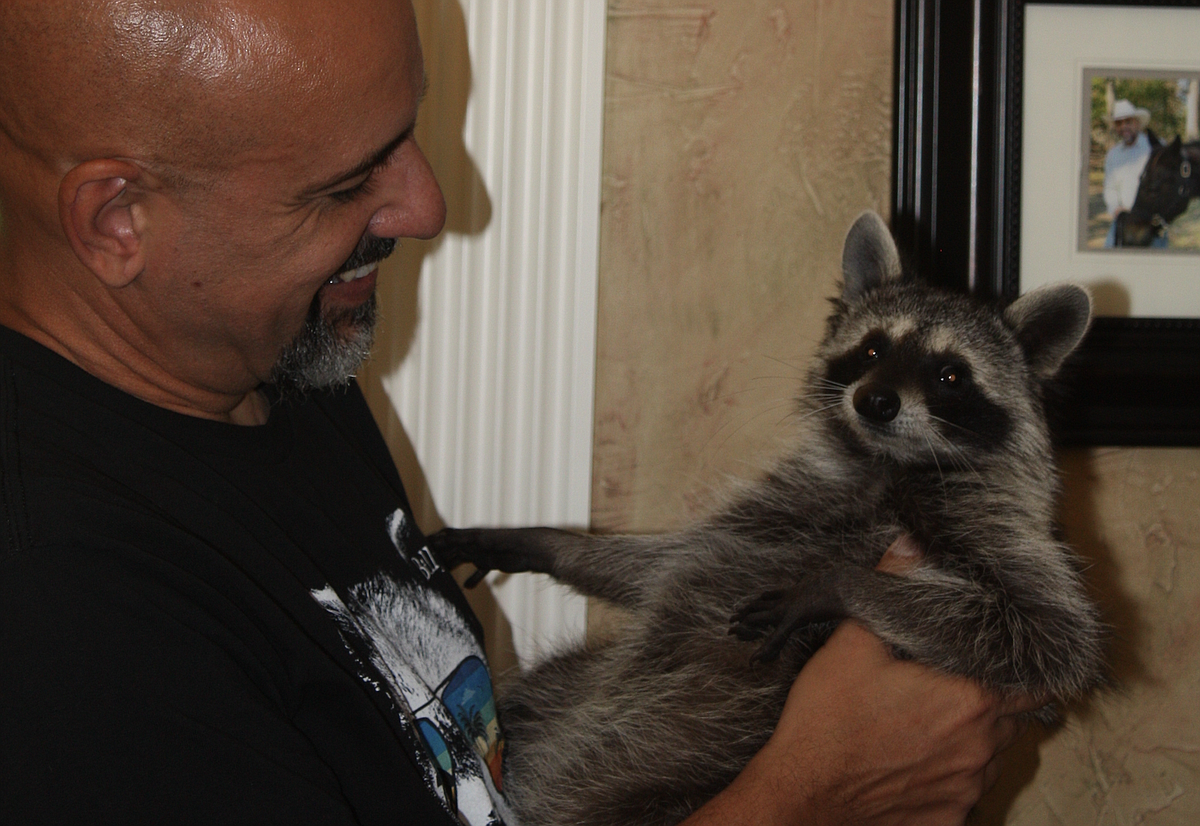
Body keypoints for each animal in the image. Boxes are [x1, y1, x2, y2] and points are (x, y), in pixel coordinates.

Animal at [430, 211, 1105, 826]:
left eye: (950, 374)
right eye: (873, 348)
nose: (875, 401)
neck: (880, 462)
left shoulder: (994, 524)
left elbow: (1050, 635)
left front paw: (834, 585)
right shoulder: (777, 508)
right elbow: (664, 562)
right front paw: (546, 541)